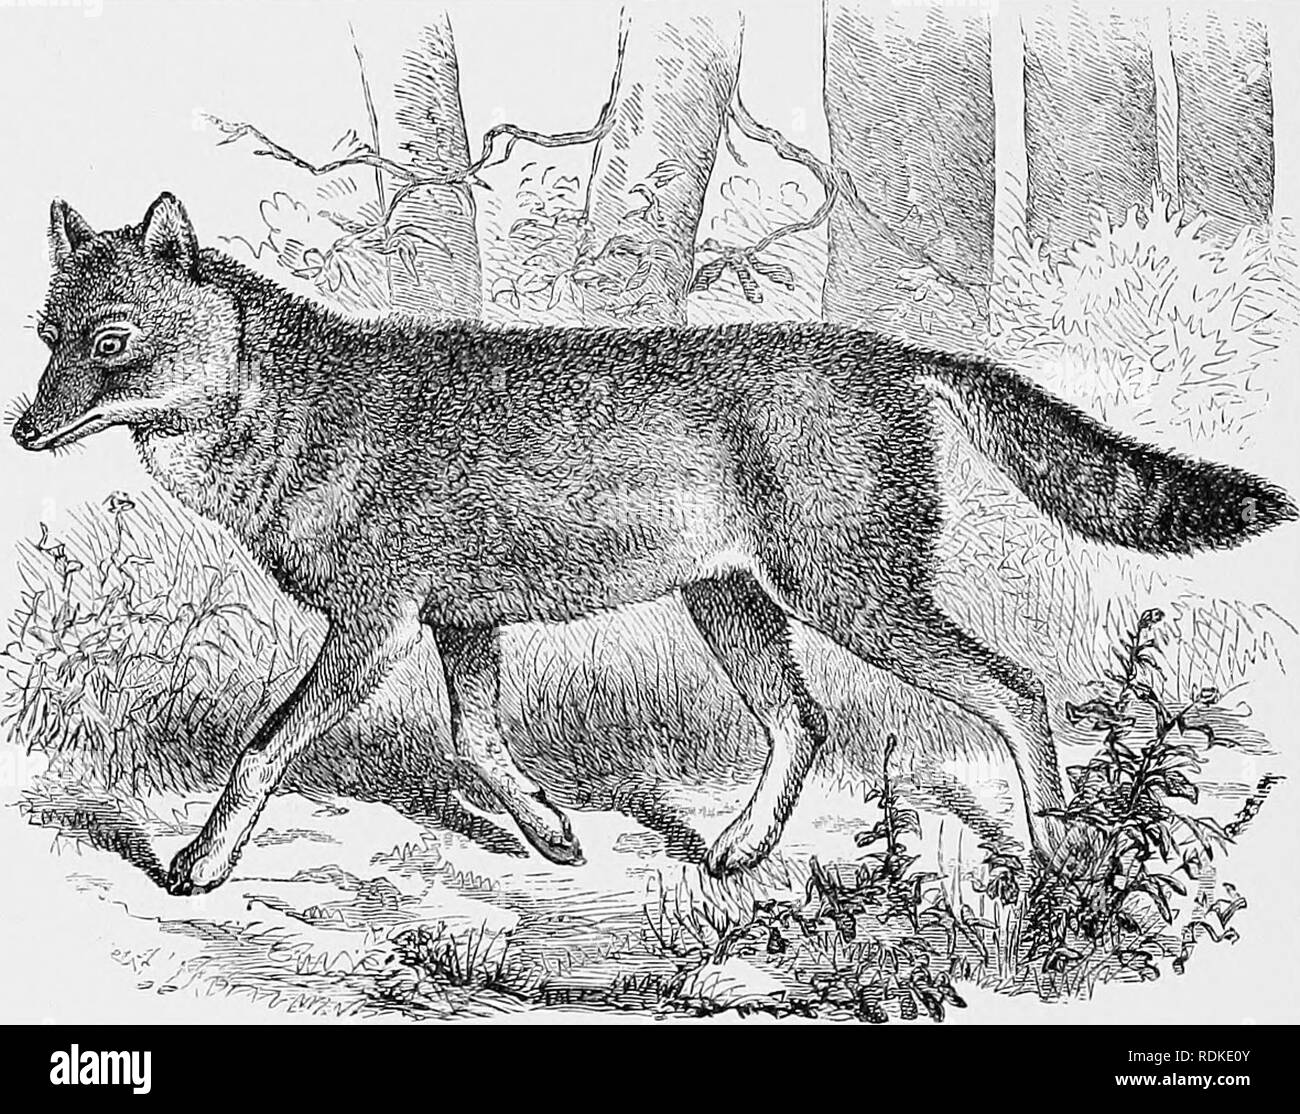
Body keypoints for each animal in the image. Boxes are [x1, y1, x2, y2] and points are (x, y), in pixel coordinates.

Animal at [13, 192, 1297, 895]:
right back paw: (737, 849)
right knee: (804, 720)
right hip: (735, 605)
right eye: (45, 336)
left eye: (111, 342)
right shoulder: (459, 624)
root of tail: (893, 353)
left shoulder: (372, 626)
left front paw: (200, 863)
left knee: (1016, 690)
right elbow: (479, 744)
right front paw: (548, 833)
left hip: (851, 601)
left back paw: (1056, 855)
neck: (288, 406)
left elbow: (263, 747)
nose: (22, 430)